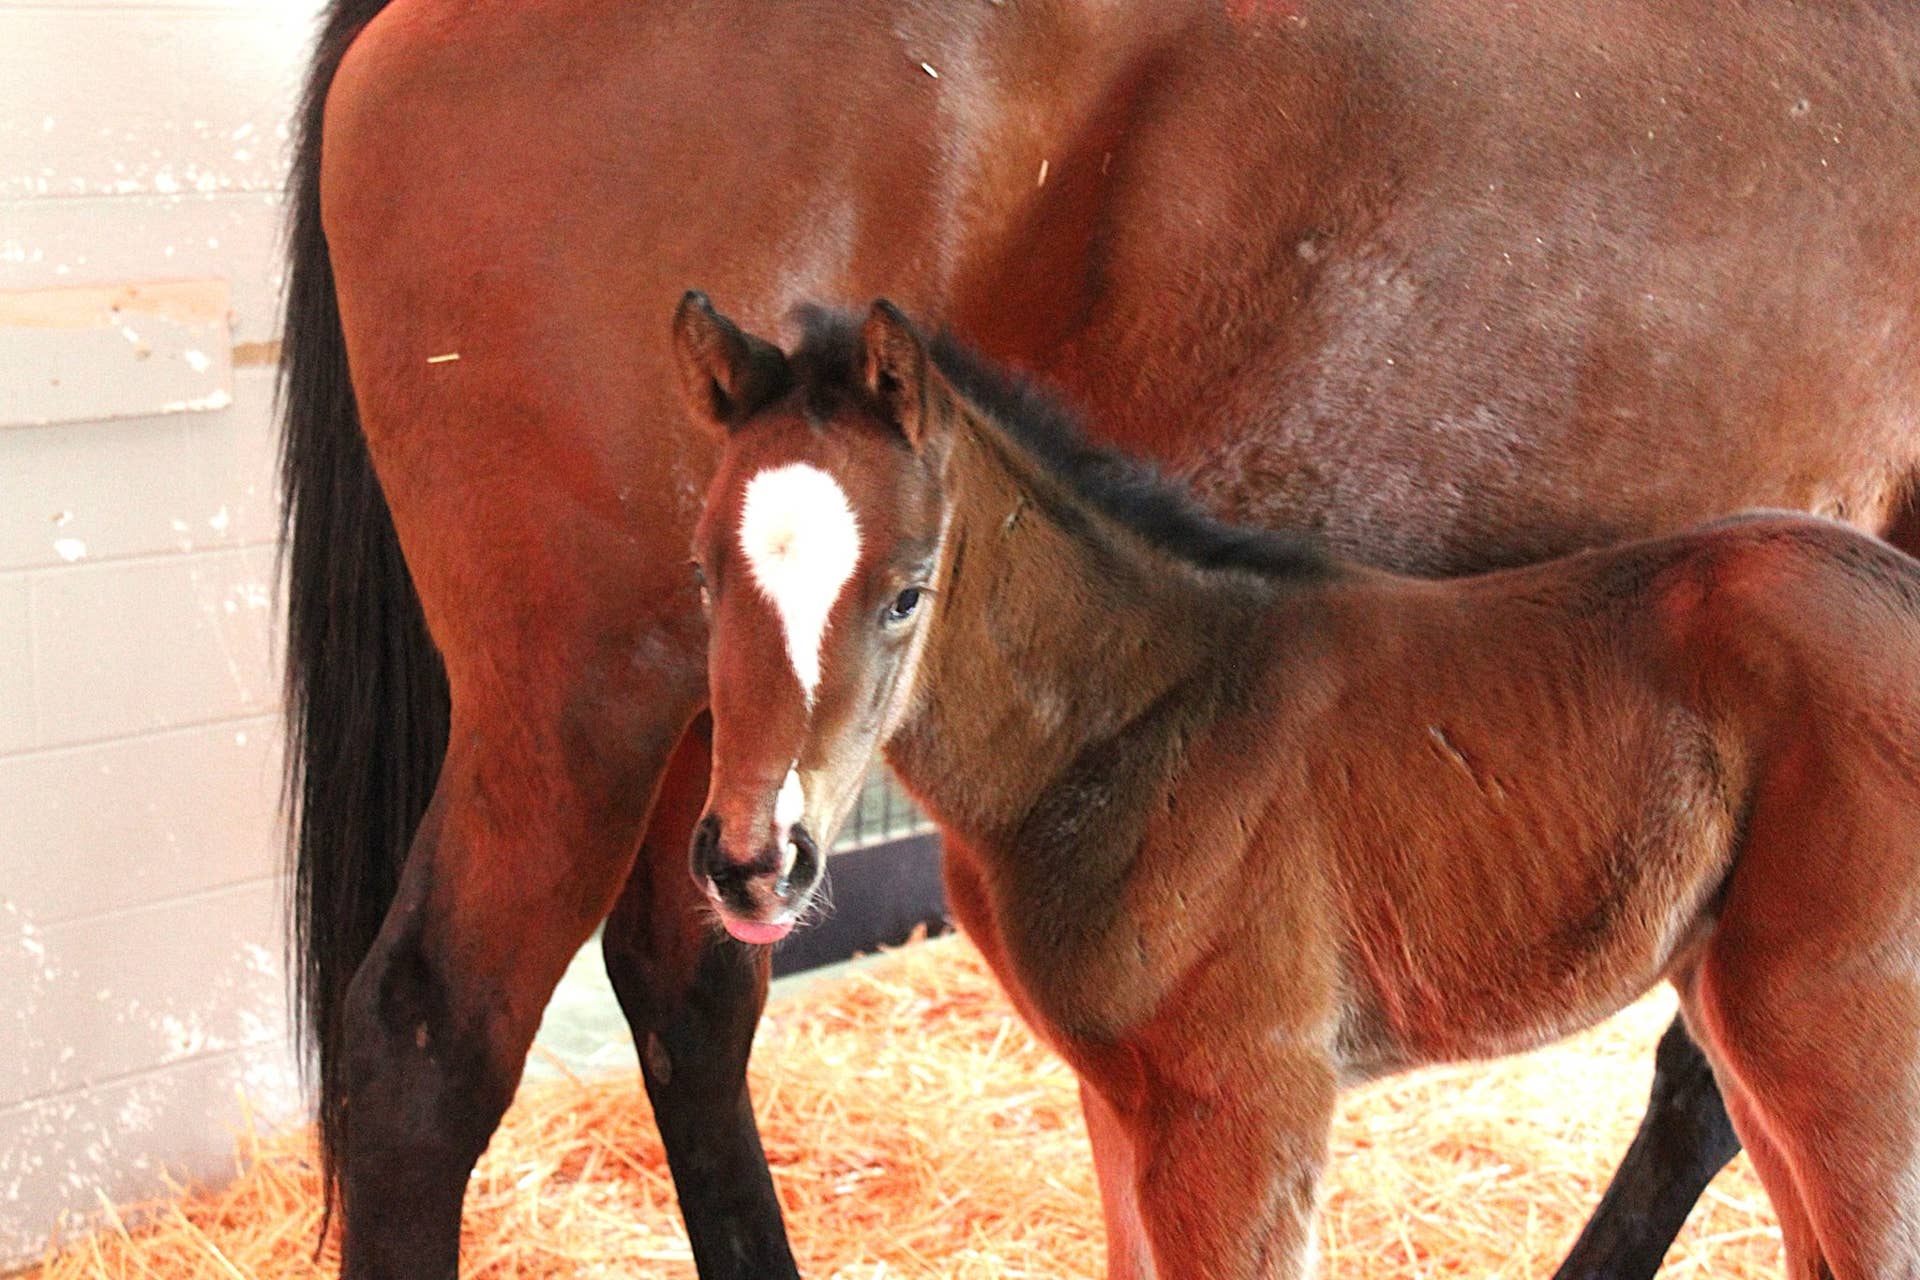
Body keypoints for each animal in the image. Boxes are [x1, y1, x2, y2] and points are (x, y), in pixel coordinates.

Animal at [680, 295, 1920, 1280]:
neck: (1134, 721)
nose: (754, 858)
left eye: (906, 591)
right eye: (703, 574)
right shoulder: (1121, 1097)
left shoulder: (1246, 1103)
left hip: (1837, 1033)